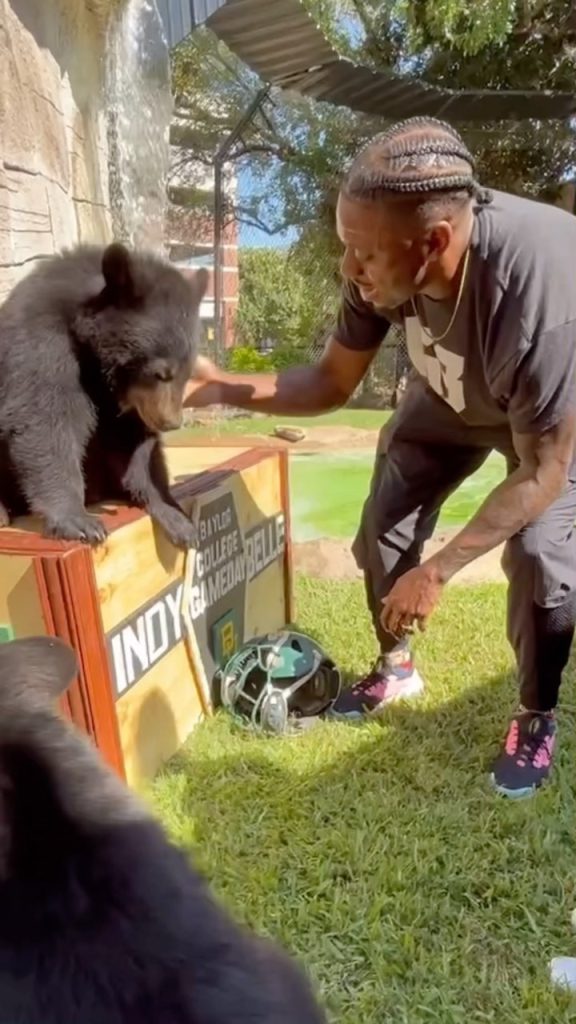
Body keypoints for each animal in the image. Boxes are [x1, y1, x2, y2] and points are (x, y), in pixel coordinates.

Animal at [0, 243, 207, 548]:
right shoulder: (41, 344)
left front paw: (176, 516)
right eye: (160, 373)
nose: (171, 422)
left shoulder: (125, 403)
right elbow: (45, 422)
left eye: (187, 373)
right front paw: (79, 522)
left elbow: (134, 443)